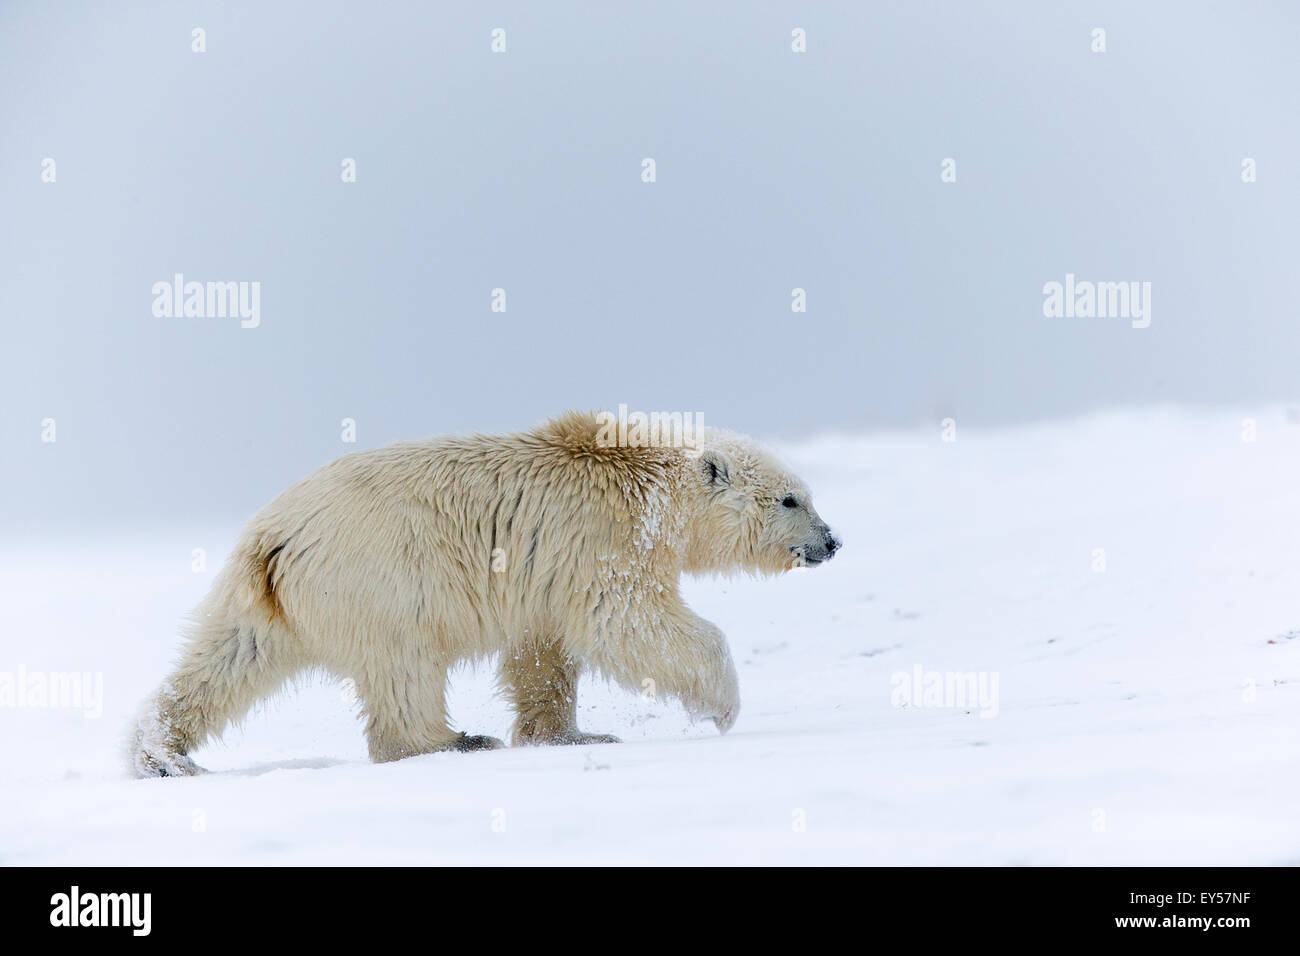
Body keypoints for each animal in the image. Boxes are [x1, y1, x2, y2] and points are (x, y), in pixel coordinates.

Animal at [128, 411, 840, 776]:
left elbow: (542, 653)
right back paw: (451, 742)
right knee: (405, 666)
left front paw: (571, 735)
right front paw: (722, 705)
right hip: (381, 576)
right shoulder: (601, 539)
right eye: (791, 499)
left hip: (270, 601)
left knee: (226, 658)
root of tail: (272, 539)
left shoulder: (548, 574)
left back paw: (161, 753)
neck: (642, 475)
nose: (832, 541)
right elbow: (625, 620)